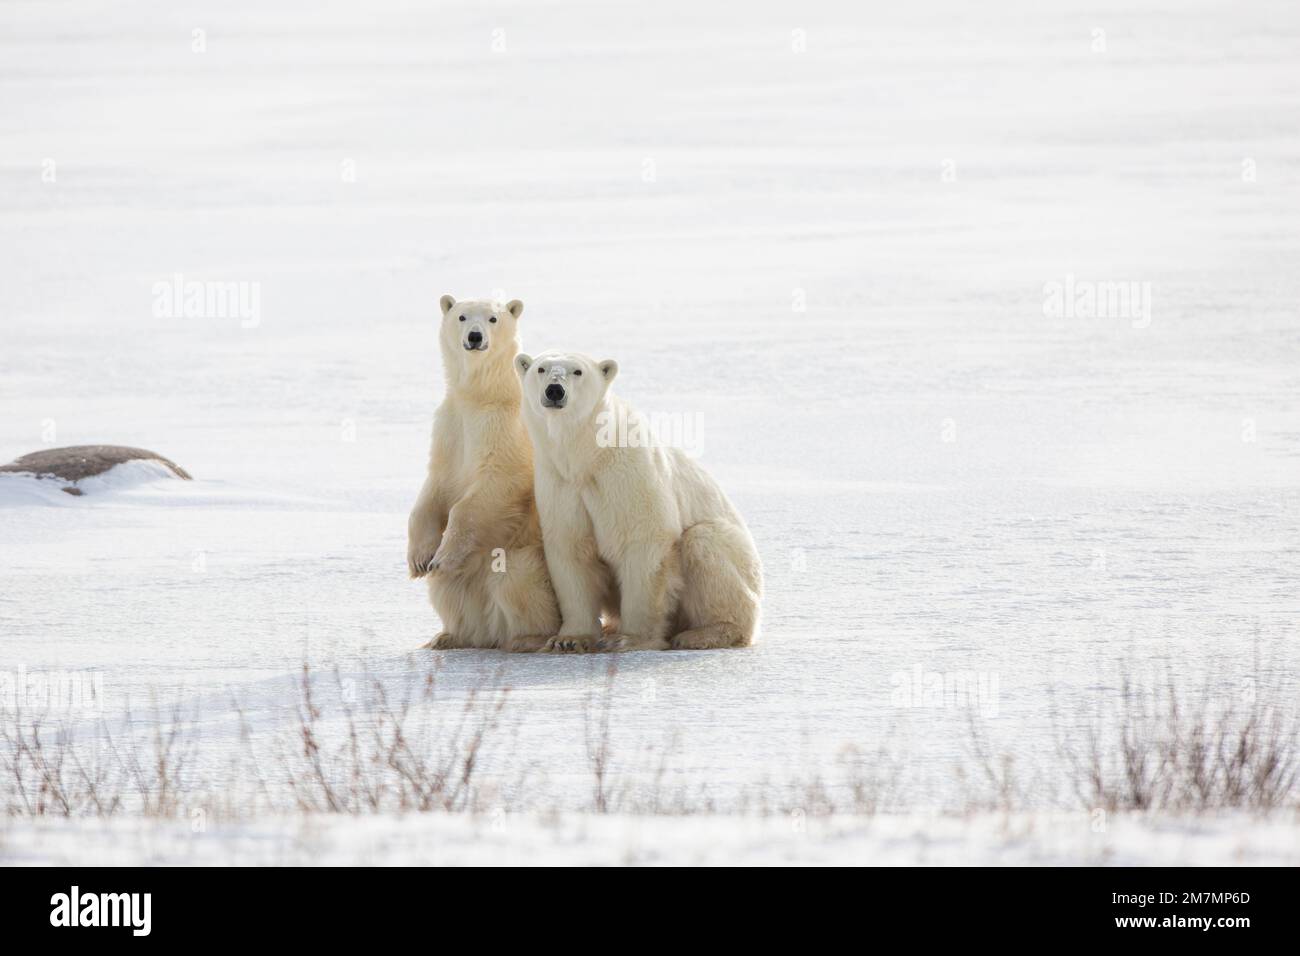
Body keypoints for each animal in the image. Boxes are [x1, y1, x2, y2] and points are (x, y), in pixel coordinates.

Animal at [407, 295, 560, 651]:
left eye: (493, 318)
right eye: (462, 316)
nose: (475, 337)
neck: (481, 396)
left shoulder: (503, 428)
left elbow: (492, 486)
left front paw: (441, 557)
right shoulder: (451, 426)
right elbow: (435, 484)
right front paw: (421, 559)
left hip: (524, 557)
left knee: (517, 578)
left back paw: (528, 638)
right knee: (447, 592)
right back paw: (448, 636)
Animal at [515, 349, 762, 652]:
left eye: (578, 371)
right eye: (541, 369)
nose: (554, 390)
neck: (586, 455)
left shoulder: (626, 472)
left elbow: (643, 541)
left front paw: (630, 639)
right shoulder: (560, 483)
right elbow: (571, 550)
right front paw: (570, 639)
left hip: (741, 562)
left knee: (705, 542)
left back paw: (702, 634)